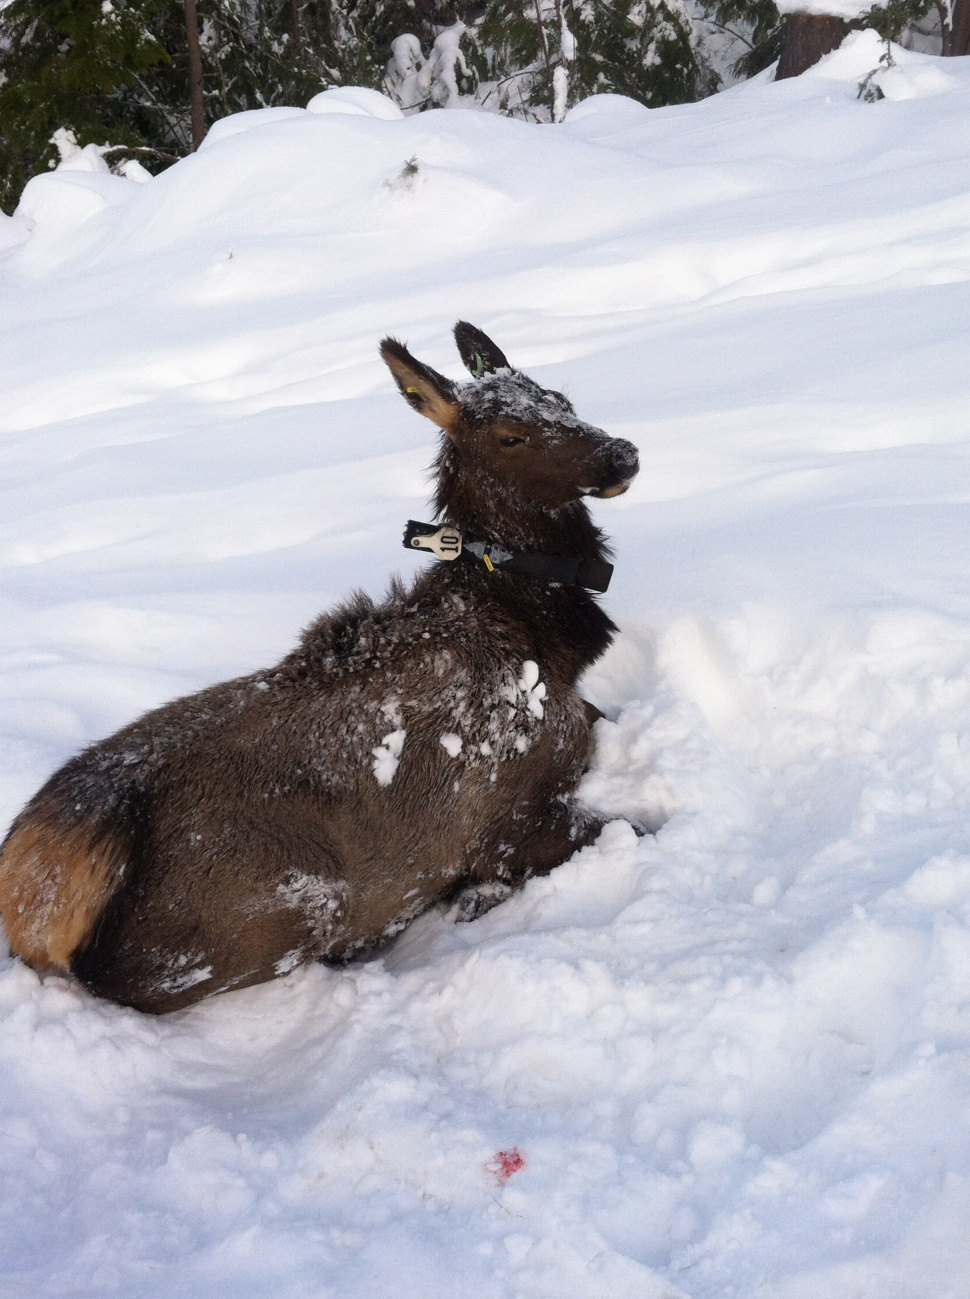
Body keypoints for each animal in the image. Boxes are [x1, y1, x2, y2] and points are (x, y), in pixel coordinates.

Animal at [0, 323, 640, 1014]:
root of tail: (29, 895)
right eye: (510, 434)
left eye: (561, 399)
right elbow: (631, 828)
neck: (541, 641)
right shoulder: (505, 817)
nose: (623, 455)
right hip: (286, 908)